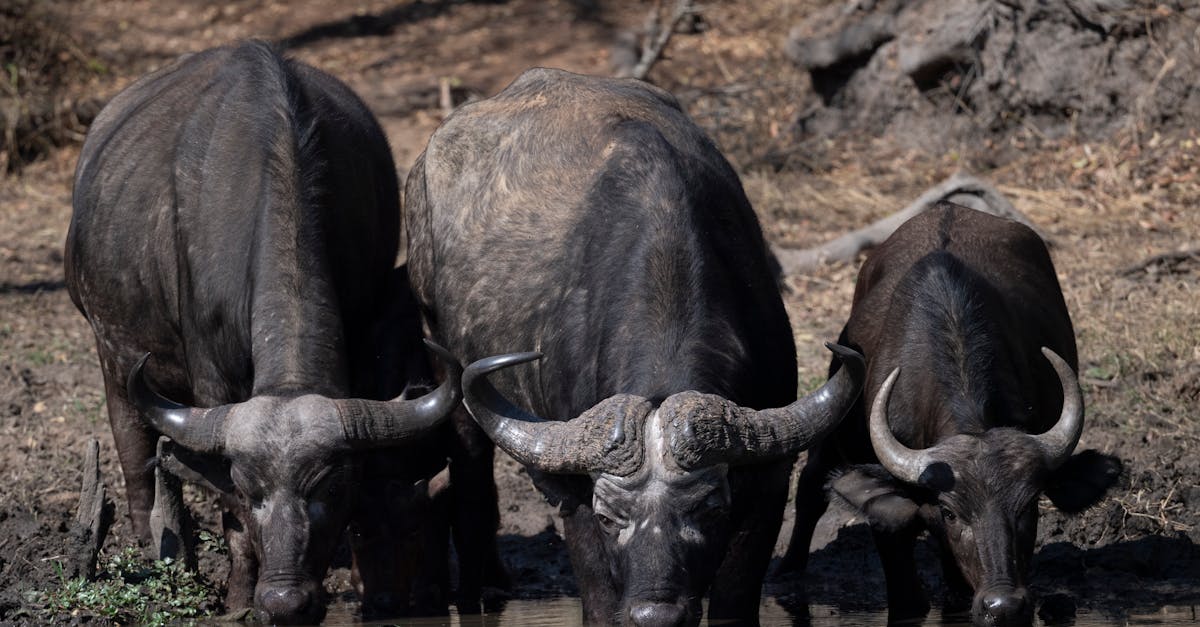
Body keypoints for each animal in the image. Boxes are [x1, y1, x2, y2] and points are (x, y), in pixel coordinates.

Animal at [65, 41, 460, 619]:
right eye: (249, 492)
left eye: (329, 491)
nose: (285, 601)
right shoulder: (211, 378)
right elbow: (228, 518)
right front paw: (237, 598)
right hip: (111, 352)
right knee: (135, 455)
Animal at [403, 68, 864, 624]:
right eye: (608, 517)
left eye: (709, 510)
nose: (655, 613)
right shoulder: (573, 496)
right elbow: (599, 601)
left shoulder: (769, 485)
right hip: (443, 355)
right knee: (470, 471)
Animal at [782, 202, 1118, 619]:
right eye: (950, 512)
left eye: (1029, 507)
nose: (1003, 604)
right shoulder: (892, 517)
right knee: (811, 483)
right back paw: (787, 571)